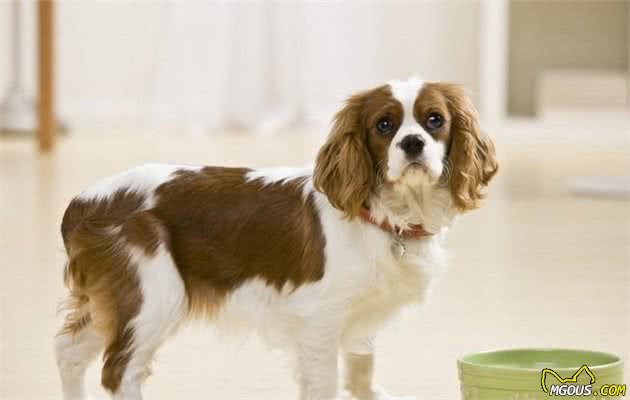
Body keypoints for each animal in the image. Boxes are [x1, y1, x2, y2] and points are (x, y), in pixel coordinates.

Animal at [54, 76, 498, 398]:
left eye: (435, 120)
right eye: (383, 125)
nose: (412, 143)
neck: (387, 215)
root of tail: (83, 201)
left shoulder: (359, 318)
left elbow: (361, 375)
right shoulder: (320, 321)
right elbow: (325, 385)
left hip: (113, 300)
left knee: (68, 354)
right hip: (154, 297)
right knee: (119, 371)